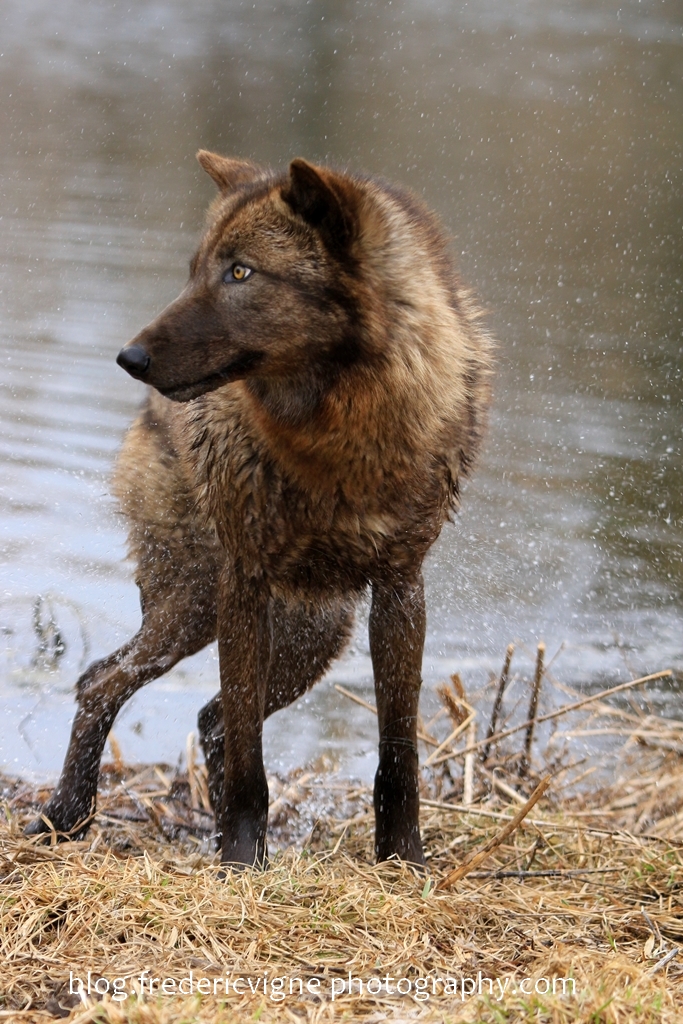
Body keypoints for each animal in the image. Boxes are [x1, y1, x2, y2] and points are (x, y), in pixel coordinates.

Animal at [26, 152, 492, 867]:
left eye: (240, 272)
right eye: (195, 269)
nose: (129, 357)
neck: (334, 440)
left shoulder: (401, 587)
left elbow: (399, 751)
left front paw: (403, 858)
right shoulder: (243, 581)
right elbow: (250, 759)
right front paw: (242, 862)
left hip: (313, 632)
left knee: (208, 716)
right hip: (197, 607)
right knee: (103, 683)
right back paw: (66, 818)